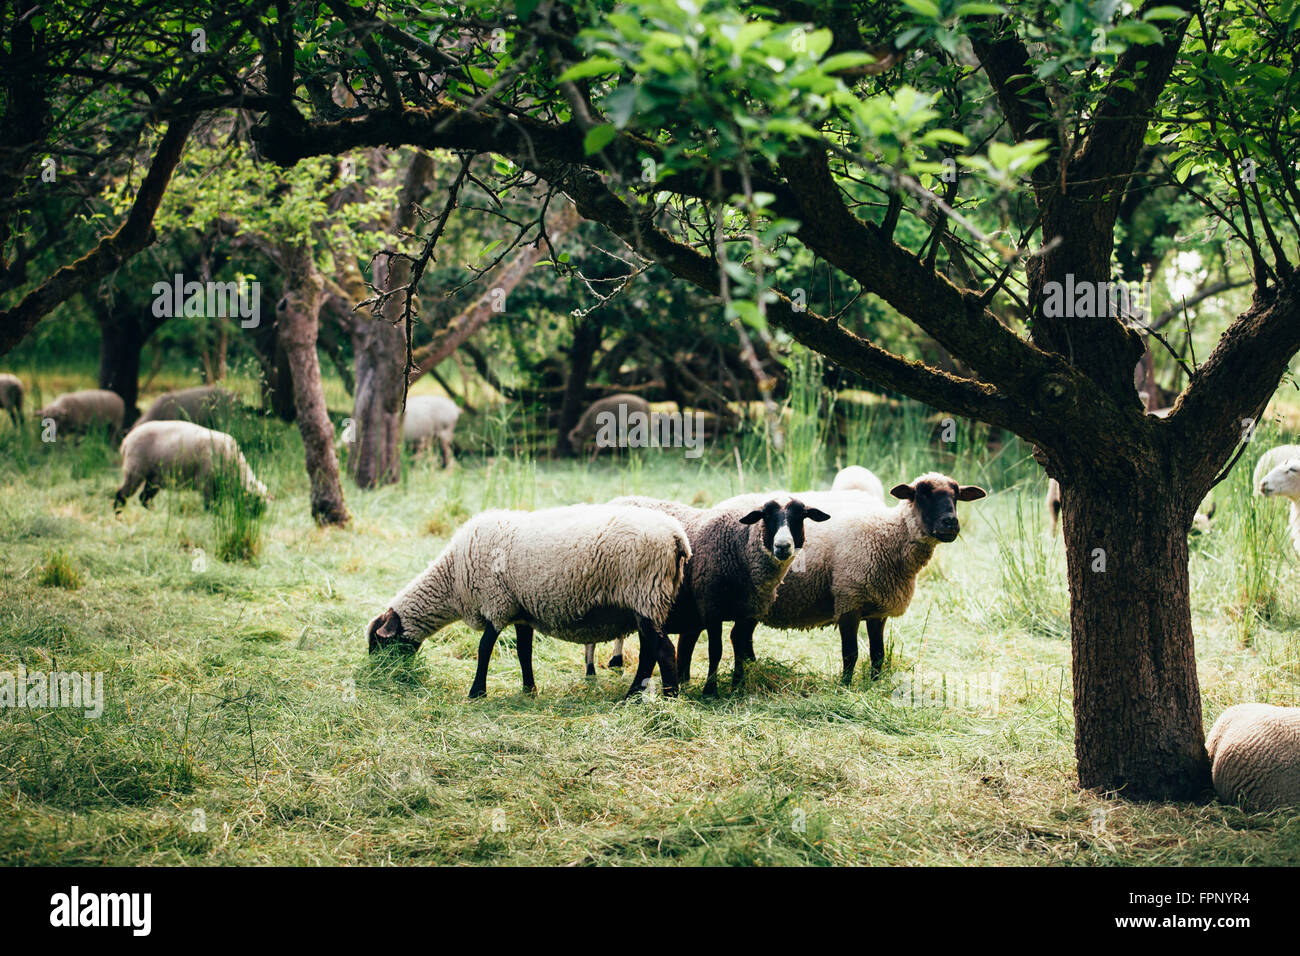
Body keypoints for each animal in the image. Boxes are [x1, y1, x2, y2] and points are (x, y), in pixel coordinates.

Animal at [114, 420, 267, 512]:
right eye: (256, 503)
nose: (257, 519)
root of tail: (126, 441)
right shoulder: (206, 481)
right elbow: (211, 503)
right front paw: (214, 514)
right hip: (136, 469)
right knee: (123, 493)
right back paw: (118, 511)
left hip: (155, 477)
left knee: (144, 497)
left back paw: (153, 510)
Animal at [366, 504, 691, 699]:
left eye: (378, 643)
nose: (377, 673)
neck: (452, 578)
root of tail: (677, 536)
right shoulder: (520, 610)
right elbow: (524, 651)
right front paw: (528, 689)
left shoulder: (496, 604)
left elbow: (484, 649)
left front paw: (477, 692)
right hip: (646, 602)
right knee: (649, 651)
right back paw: (634, 693)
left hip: (646, 594)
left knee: (663, 649)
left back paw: (667, 696)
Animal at [609, 494, 830, 694]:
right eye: (766, 515)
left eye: (801, 515)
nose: (782, 546)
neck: (741, 549)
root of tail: (617, 500)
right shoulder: (711, 608)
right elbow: (716, 651)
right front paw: (710, 691)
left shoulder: (750, 614)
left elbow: (740, 648)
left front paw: (737, 687)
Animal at [719, 473, 987, 685]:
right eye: (922, 495)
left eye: (956, 496)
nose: (950, 523)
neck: (889, 534)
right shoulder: (849, 599)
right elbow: (850, 653)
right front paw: (845, 686)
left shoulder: (877, 608)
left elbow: (878, 654)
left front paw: (874, 684)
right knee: (738, 637)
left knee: (743, 638)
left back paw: (755, 669)